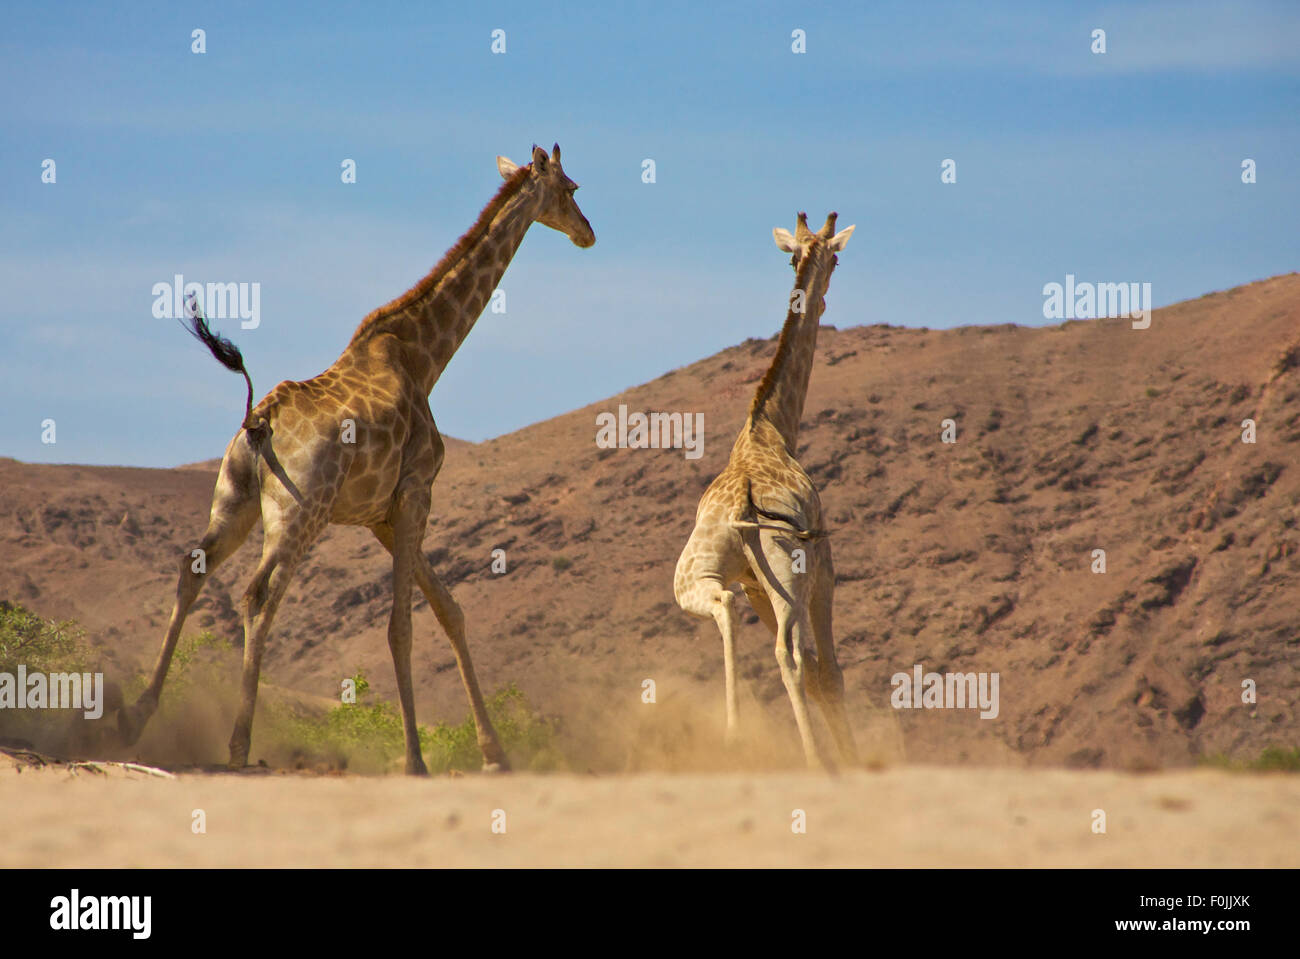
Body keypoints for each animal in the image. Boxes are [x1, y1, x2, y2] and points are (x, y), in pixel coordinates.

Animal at [117, 143, 595, 774]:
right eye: (571, 188)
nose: (588, 233)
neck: (424, 356)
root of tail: (258, 423)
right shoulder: (416, 492)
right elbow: (402, 627)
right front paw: (416, 760)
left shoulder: (379, 516)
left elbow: (450, 611)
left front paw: (495, 754)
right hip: (300, 513)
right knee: (258, 597)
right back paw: (239, 745)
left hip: (235, 501)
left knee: (190, 570)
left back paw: (137, 715)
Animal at [673, 211, 856, 770]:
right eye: (836, 259)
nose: (823, 296)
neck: (772, 429)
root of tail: (741, 505)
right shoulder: (824, 565)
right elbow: (829, 670)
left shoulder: (756, 585)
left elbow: (817, 670)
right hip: (789, 569)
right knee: (789, 655)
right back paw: (817, 762)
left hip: (697, 577)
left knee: (723, 604)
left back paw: (734, 734)